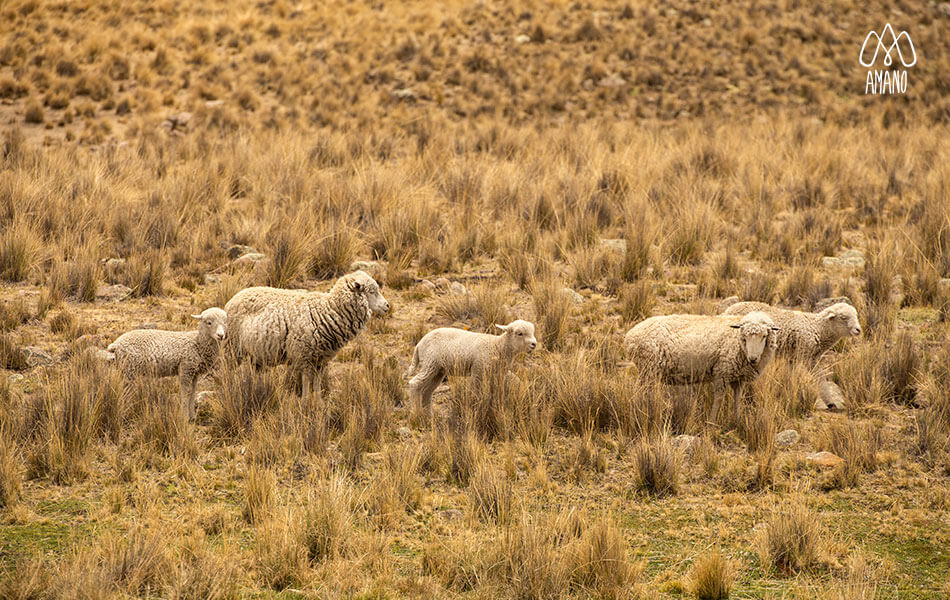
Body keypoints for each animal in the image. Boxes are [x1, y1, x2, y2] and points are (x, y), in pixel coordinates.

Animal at [224, 270, 389, 401]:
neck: (329, 311)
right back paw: (229, 389)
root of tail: (232, 299)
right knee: (227, 371)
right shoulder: (303, 355)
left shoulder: (321, 359)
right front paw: (305, 403)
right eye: (371, 291)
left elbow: (317, 382)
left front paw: (318, 403)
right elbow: (305, 381)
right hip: (232, 347)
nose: (387, 306)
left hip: (255, 354)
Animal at [407, 319, 538, 415]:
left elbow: (496, 391)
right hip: (430, 363)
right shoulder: (477, 370)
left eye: (532, 332)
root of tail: (419, 344)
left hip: (438, 370)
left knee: (427, 391)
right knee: (414, 384)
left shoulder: (497, 375)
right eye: (519, 333)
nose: (534, 344)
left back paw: (428, 414)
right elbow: (475, 392)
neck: (498, 346)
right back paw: (415, 413)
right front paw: (474, 408)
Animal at [623, 311, 779, 420]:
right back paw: (640, 412)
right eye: (745, 337)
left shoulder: (739, 378)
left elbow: (737, 399)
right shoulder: (721, 372)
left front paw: (737, 420)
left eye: (764, 336)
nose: (753, 359)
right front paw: (711, 422)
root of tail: (630, 336)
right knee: (639, 393)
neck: (737, 342)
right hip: (647, 368)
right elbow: (718, 399)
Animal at [721, 301, 861, 363]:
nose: (858, 330)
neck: (817, 327)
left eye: (856, 315)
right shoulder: (803, 354)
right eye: (843, 317)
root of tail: (727, 310)